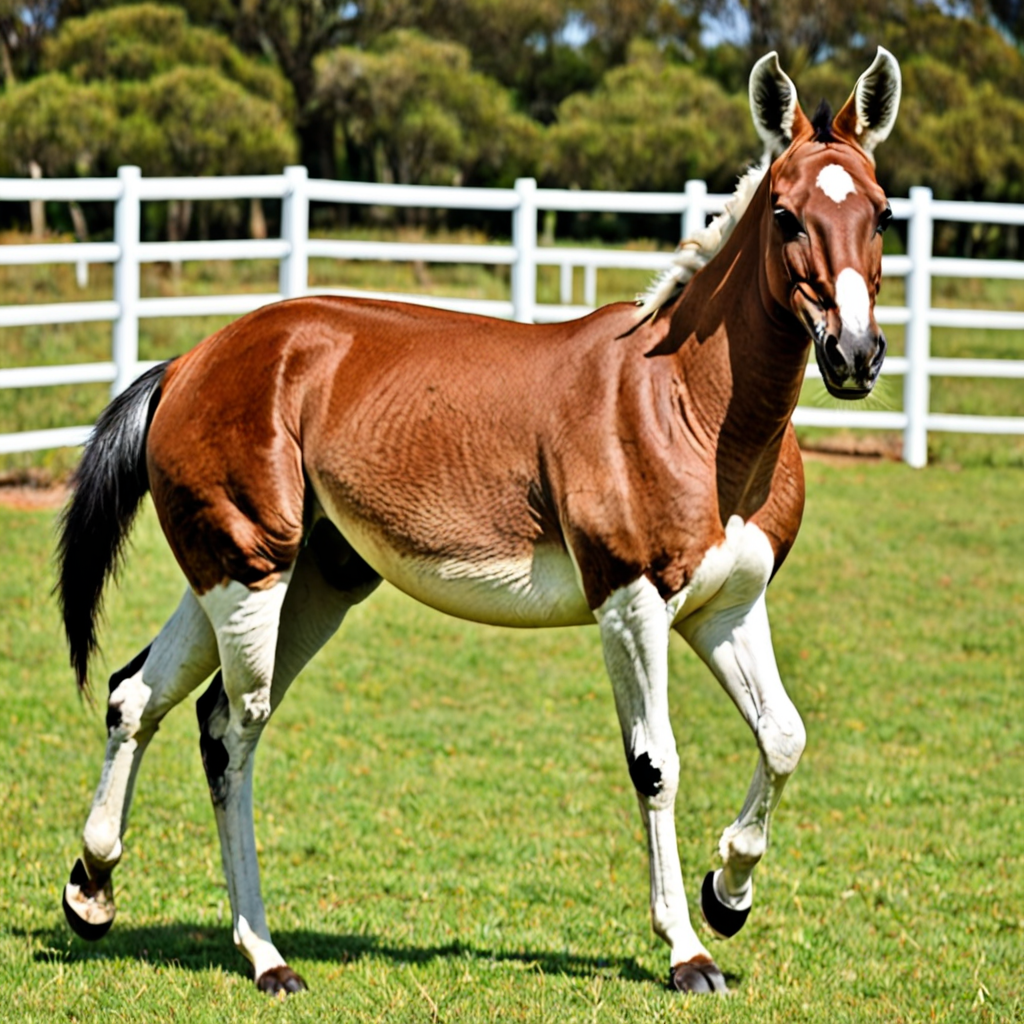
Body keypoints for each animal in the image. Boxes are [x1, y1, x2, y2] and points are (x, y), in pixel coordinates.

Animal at [57, 48, 901, 995]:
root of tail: (192, 362)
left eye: (882, 213)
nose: (855, 355)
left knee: (143, 698)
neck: (685, 403)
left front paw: (729, 894)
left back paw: (92, 889)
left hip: (288, 581)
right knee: (234, 734)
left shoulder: (727, 609)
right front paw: (689, 951)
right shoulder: (631, 607)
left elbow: (784, 738)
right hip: (250, 575)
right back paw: (265, 955)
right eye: (787, 214)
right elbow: (657, 764)